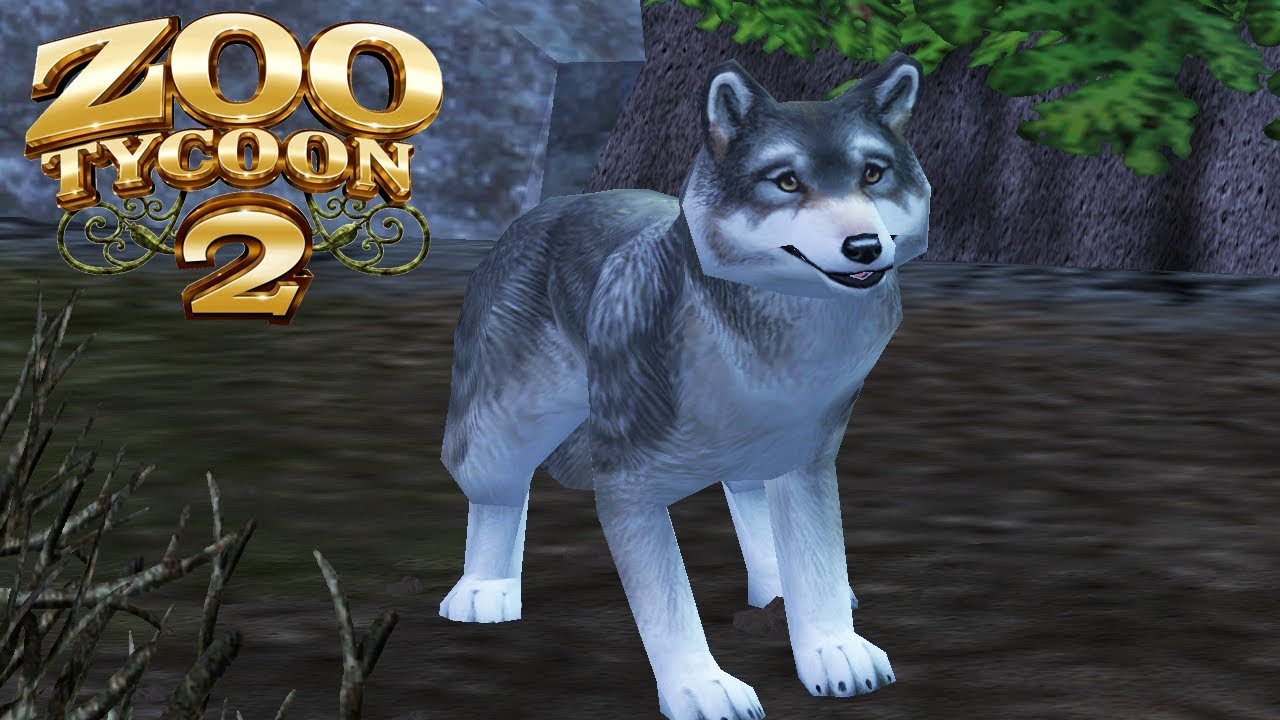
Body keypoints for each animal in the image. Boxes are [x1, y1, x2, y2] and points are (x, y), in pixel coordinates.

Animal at [438, 52, 930, 720]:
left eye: (873, 174)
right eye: (786, 182)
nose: (863, 245)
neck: (775, 345)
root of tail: (542, 211)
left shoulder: (804, 457)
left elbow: (817, 561)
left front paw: (832, 649)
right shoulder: (627, 487)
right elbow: (670, 603)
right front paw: (702, 687)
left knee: (748, 497)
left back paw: (774, 586)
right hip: (501, 433)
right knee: (499, 494)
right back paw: (486, 588)